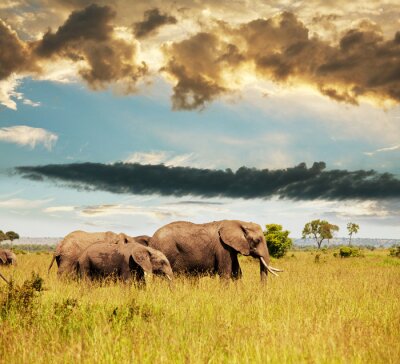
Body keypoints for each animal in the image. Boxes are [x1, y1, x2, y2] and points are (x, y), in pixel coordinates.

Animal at [148, 219, 282, 282]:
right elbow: (225, 273)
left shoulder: (231, 249)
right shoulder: (222, 247)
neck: (239, 222)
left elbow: (237, 273)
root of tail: (152, 239)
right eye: (257, 240)